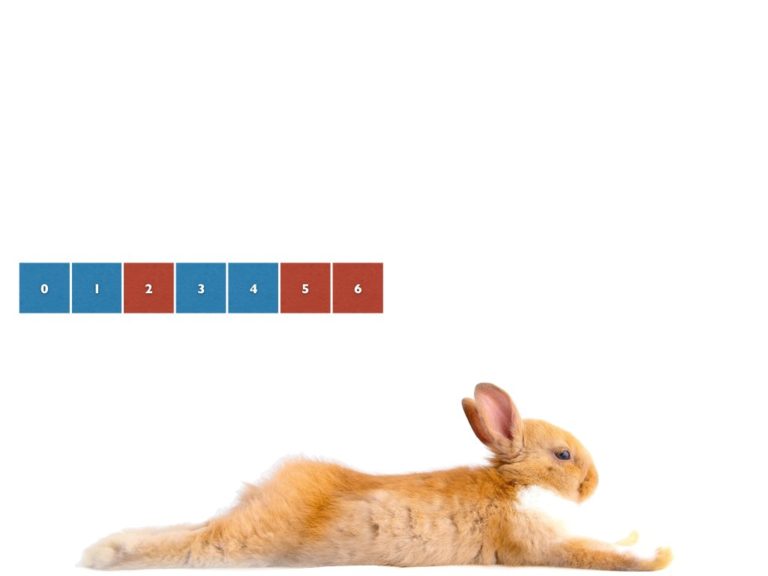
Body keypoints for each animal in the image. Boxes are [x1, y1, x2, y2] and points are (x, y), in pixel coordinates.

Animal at [81, 383, 671, 570]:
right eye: (564, 456)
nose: (594, 485)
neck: (514, 486)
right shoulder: (537, 546)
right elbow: (596, 554)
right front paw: (658, 557)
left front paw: (641, 537)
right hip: (246, 544)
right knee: (192, 545)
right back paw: (103, 555)